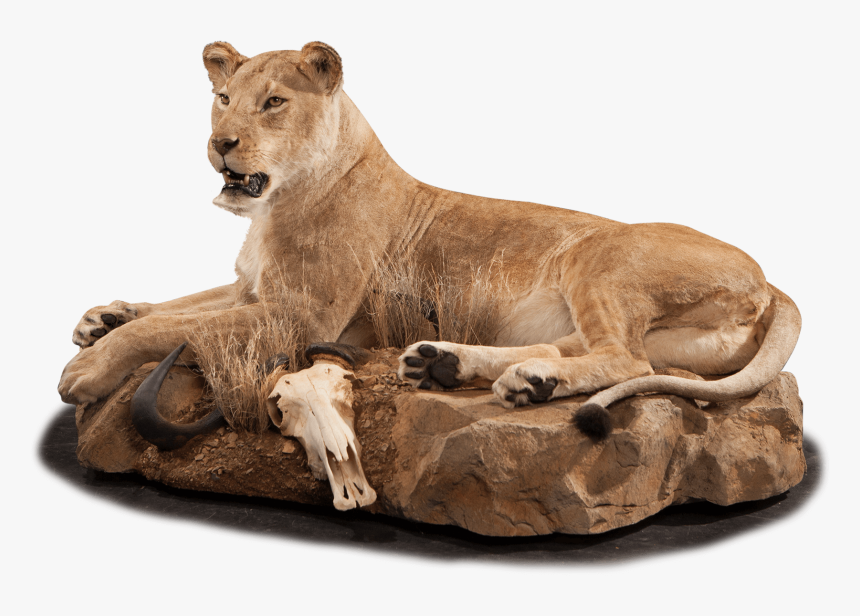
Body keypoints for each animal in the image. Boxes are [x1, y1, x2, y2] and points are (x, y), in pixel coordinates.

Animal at [58, 41, 801, 441]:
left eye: (273, 102)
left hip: (600, 257)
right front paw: (102, 317)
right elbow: (179, 304)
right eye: (221, 99)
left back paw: (507, 379)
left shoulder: (301, 316)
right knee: (587, 351)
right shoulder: (252, 289)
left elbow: (169, 329)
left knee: (623, 359)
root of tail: (772, 283)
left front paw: (88, 368)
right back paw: (466, 369)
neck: (272, 207)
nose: (221, 144)